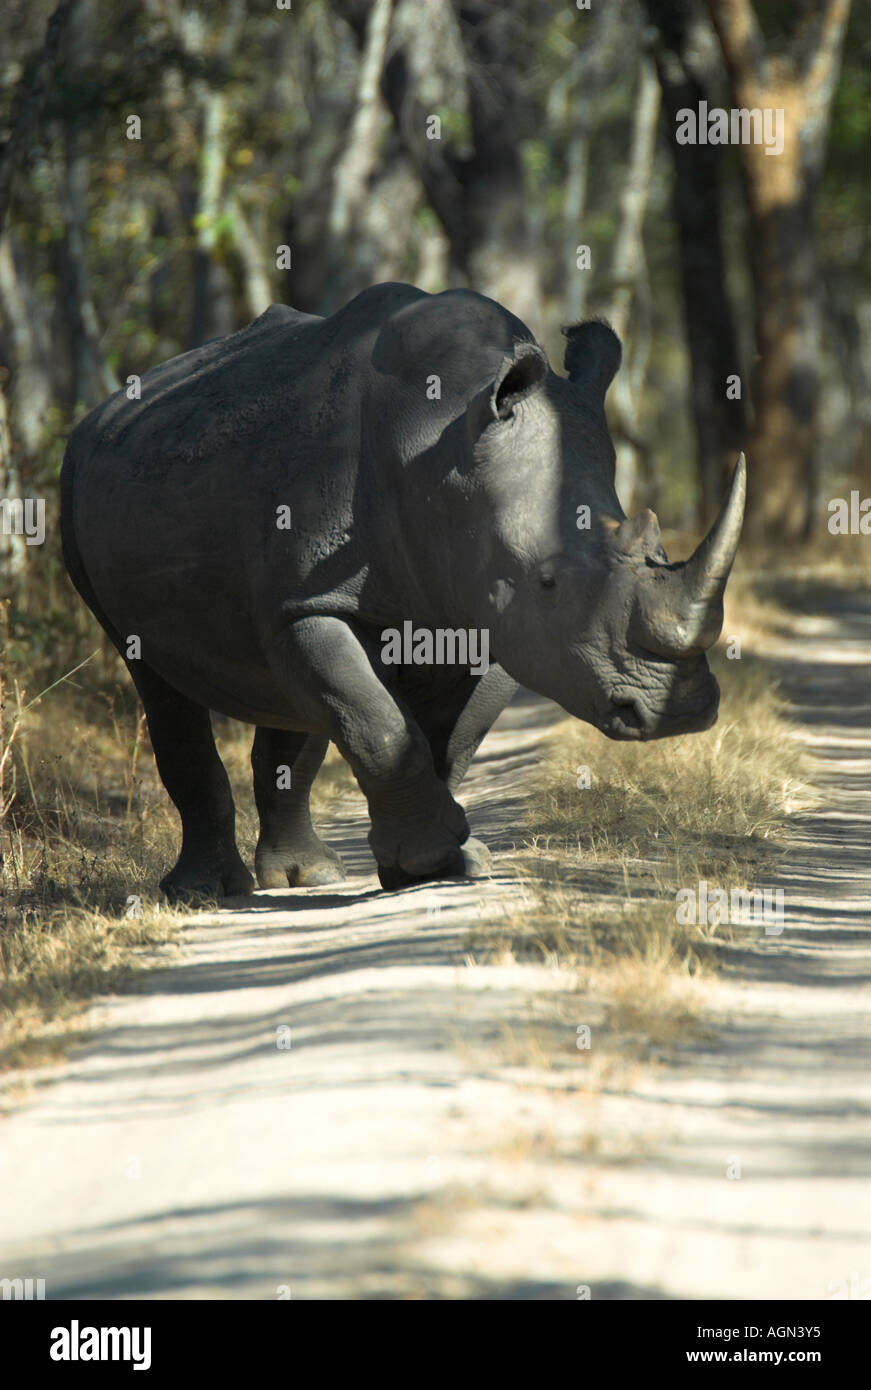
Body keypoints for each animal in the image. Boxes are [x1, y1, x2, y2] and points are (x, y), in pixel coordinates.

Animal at [60, 282, 745, 900]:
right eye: (548, 582)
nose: (679, 711)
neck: (441, 454)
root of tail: (97, 416)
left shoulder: (491, 618)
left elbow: (448, 739)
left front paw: (439, 865)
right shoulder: (316, 603)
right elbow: (382, 725)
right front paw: (431, 859)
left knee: (293, 704)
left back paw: (308, 877)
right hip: (78, 498)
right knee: (156, 677)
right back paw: (205, 892)